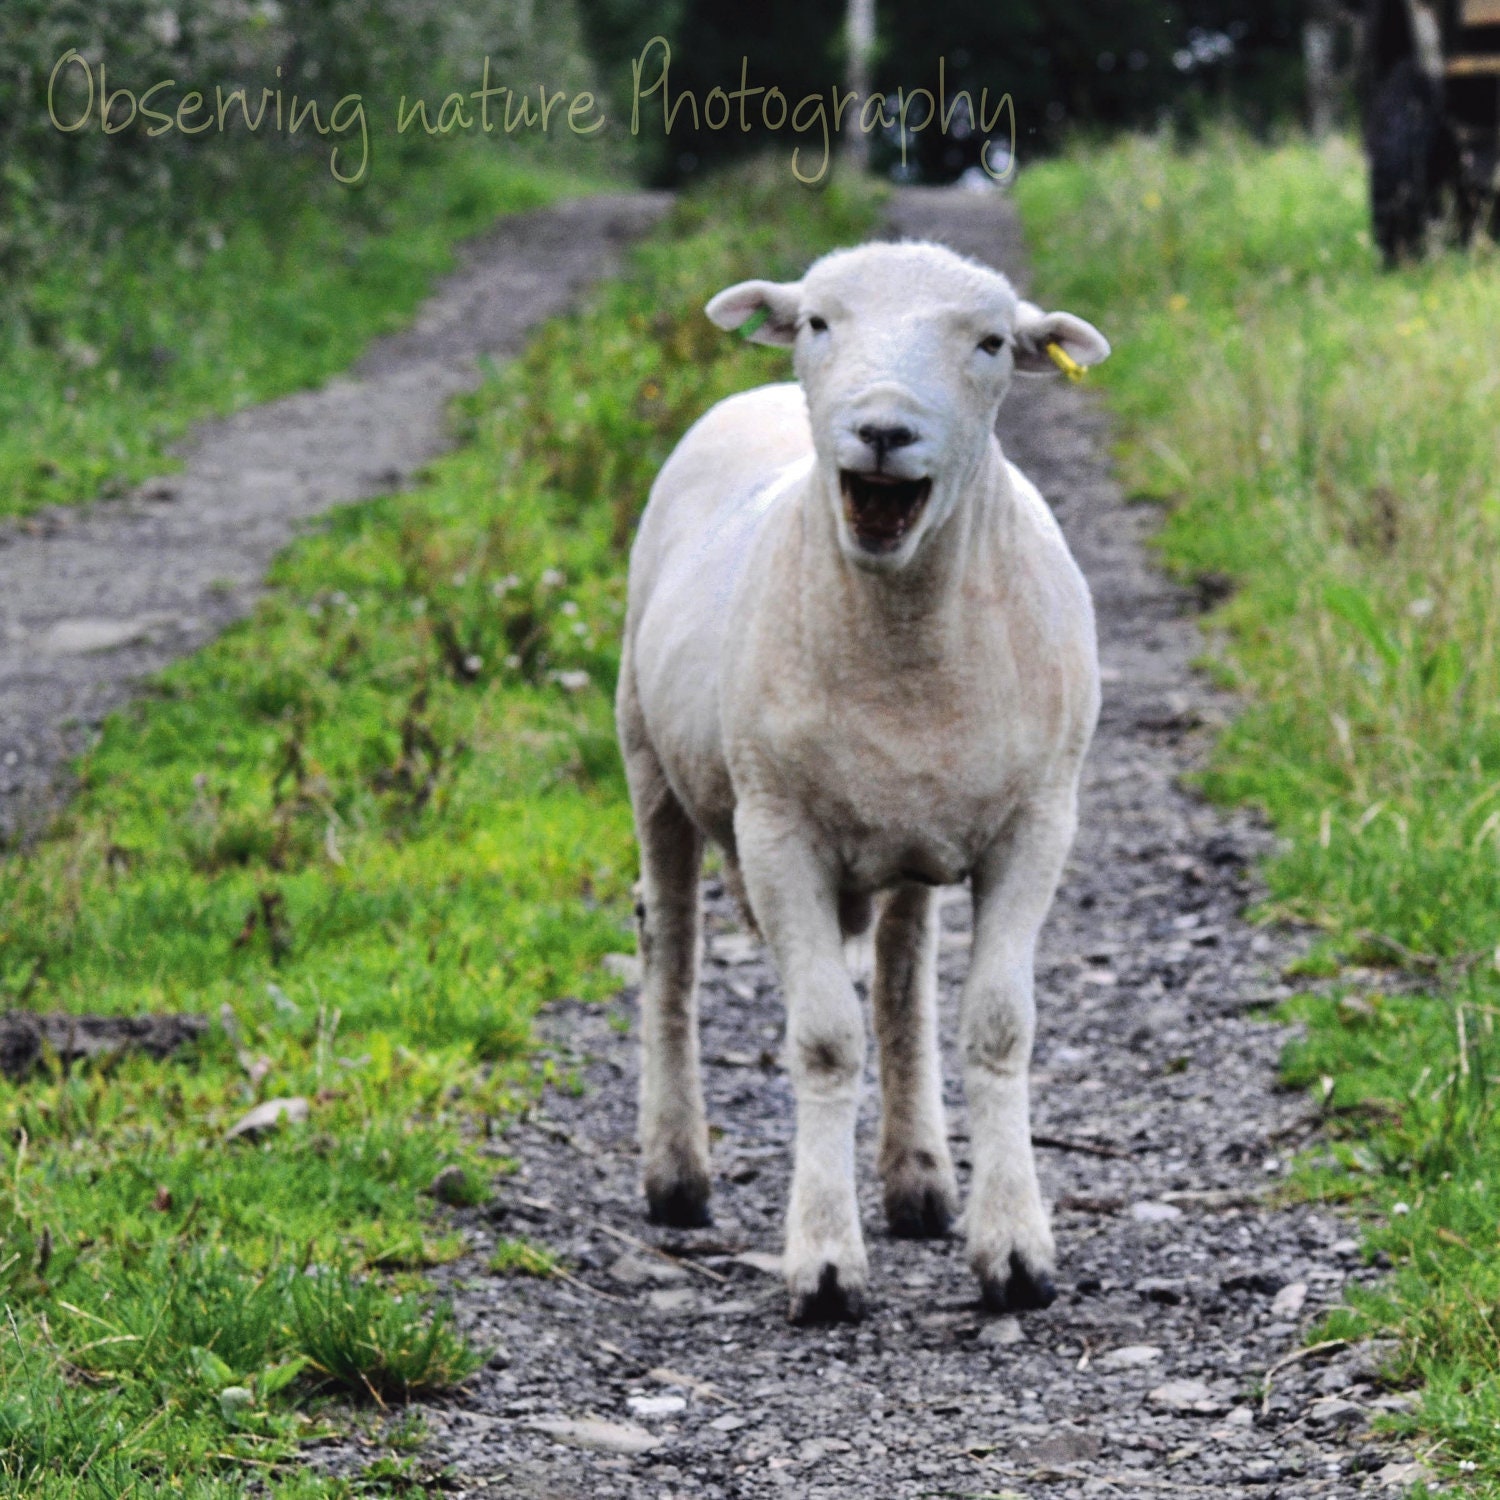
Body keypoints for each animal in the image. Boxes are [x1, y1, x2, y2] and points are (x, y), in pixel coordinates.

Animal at [615, 239, 1110, 1324]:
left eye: (992, 342)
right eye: (817, 322)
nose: (882, 429)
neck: (906, 637)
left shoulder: (1039, 823)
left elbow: (998, 1025)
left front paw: (1014, 1250)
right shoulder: (777, 833)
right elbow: (825, 1040)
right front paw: (826, 1264)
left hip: (910, 829)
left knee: (902, 971)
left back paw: (919, 1180)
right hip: (647, 757)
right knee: (671, 945)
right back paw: (677, 1173)